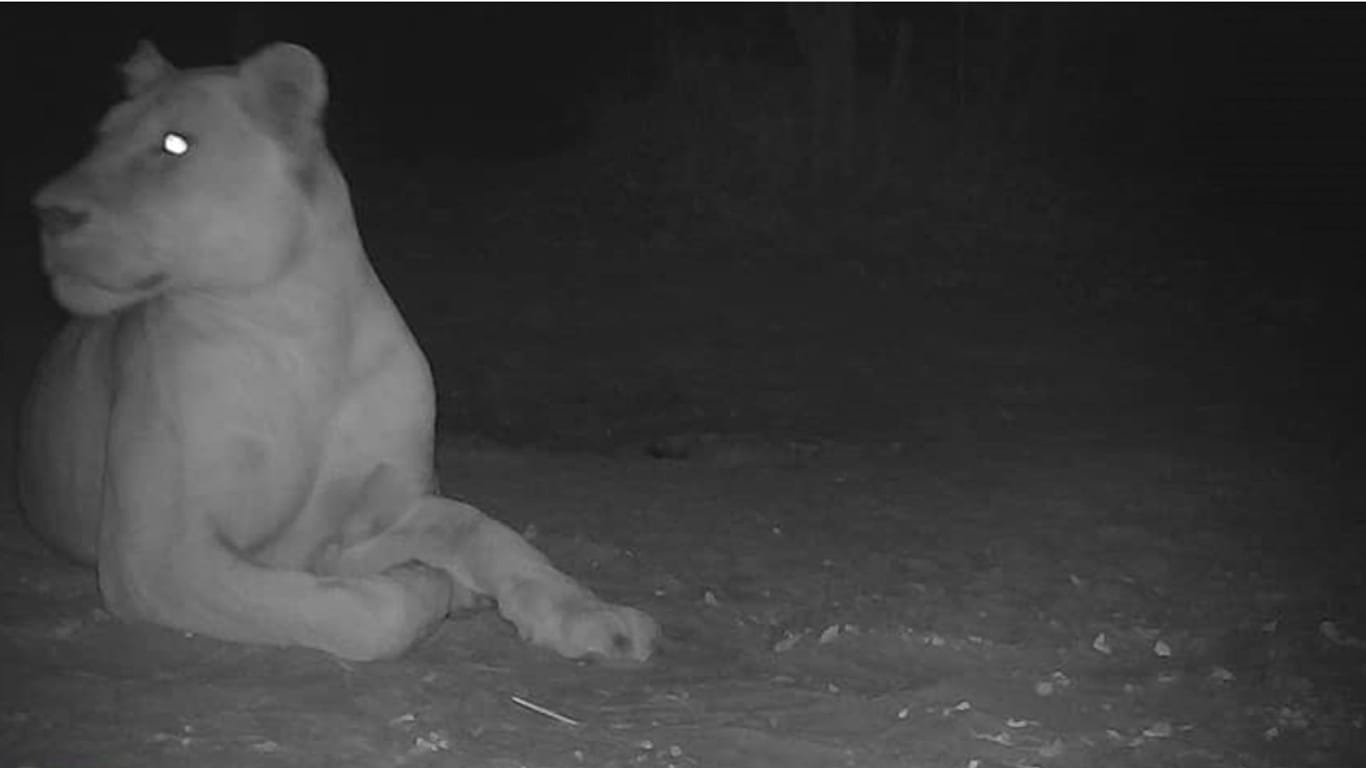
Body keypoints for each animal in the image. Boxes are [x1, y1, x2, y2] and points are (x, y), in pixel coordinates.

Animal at [17, 41, 659, 663]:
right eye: (100, 137)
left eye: (175, 143)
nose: (47, 211)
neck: (302, 330)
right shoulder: (157, 558)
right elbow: (367, 609)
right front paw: (428, 586)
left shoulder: (376, 509)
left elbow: (480, 529)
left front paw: (595, 620)